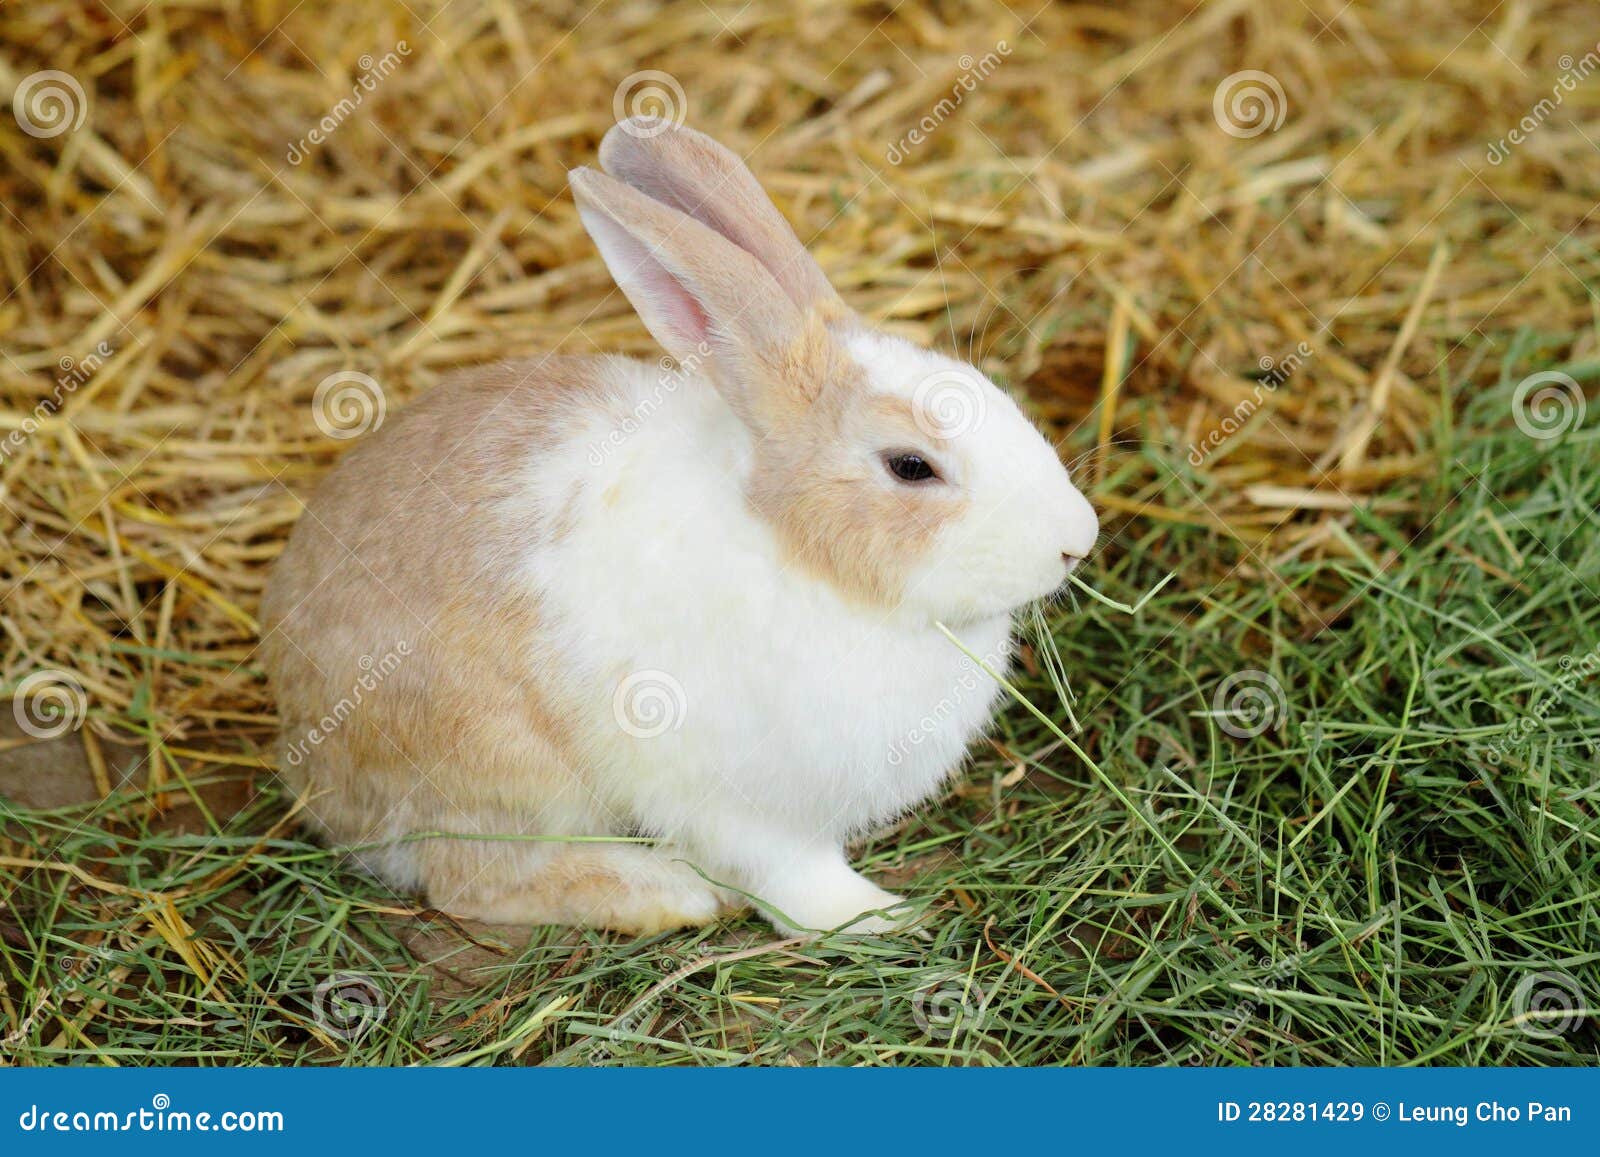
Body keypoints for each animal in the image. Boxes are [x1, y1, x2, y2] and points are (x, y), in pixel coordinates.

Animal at [259, 116, 1098, 936]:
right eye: (911, 466)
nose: (1078, 539)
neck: (797, 552)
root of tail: (309, 761)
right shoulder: (744, 805)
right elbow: (795, 877)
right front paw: (878, 916)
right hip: (502, 769)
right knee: (471, 879)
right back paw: (664, 895)